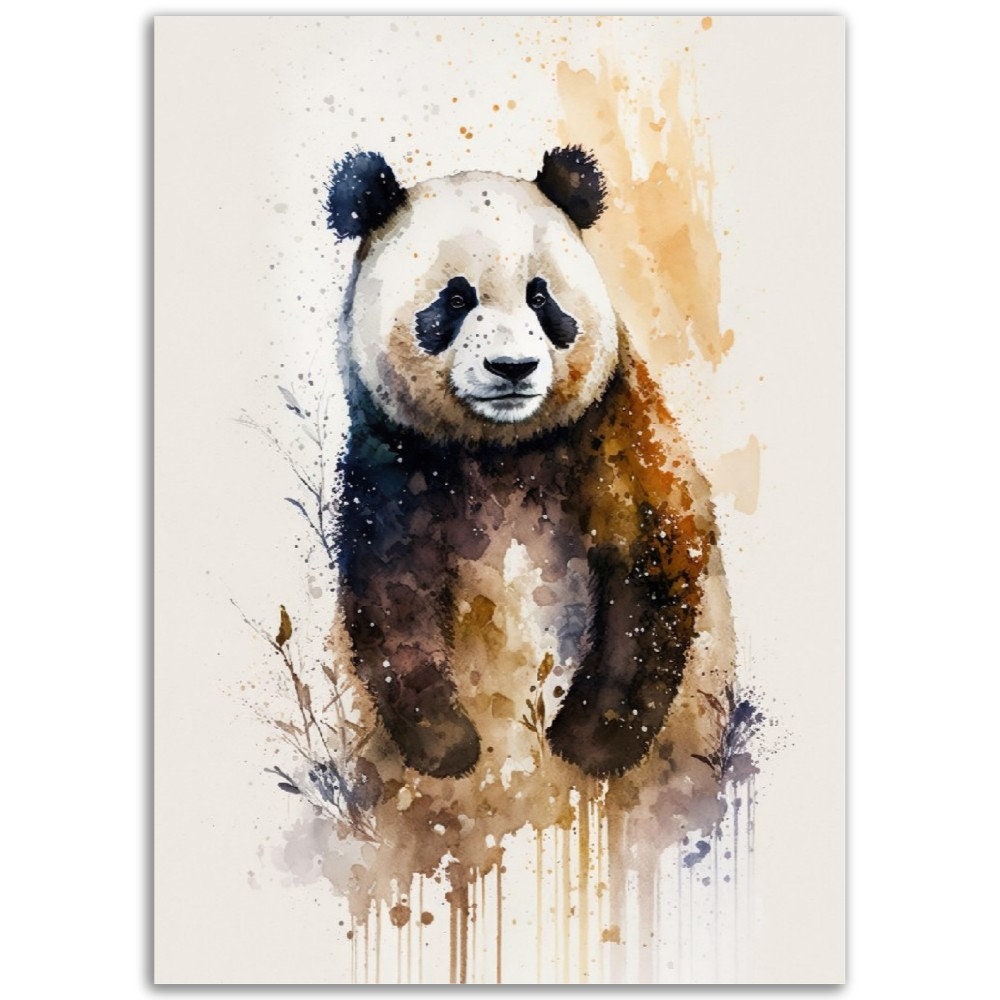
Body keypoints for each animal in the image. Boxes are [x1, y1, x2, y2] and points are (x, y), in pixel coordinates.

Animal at [325, 146, 735, 783]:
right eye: (456, 301)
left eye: (540, 299)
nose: (512, 367)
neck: (501, 447)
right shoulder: (395, 451)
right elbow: (394, 585)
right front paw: (446, 744)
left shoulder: (609, 419)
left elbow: (653, 547)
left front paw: (590, 743)